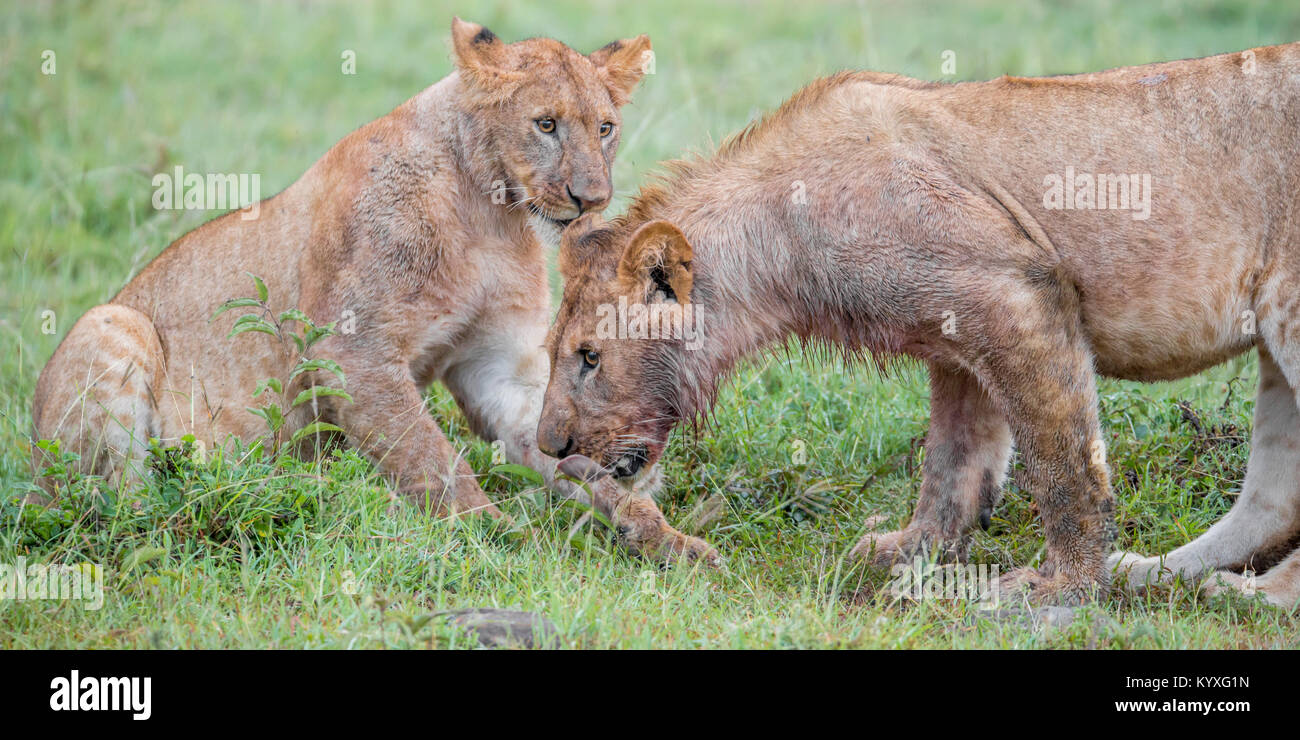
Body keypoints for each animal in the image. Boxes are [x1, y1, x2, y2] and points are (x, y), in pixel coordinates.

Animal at [30, 18, 716, 566]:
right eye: (545, 124)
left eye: (605, 128)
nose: (592, 199)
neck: (489, 215)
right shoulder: (349, 353)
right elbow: (432, 460)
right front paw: (502, 542)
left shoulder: (493, 366)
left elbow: (567, 449)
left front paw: (665, 538)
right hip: (110, 326)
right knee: (124, 508)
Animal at [539, 43, 1300, 606]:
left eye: (589, 356)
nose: (550, 447)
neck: (777, 234)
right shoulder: (961, 336)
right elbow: (956, 464)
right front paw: (911, 556)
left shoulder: (1015, 291)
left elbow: (1064, 466)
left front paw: (1060, 587)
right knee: (1272, 497)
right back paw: (1157, 575)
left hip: (1291, 317)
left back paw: (1249, 598)